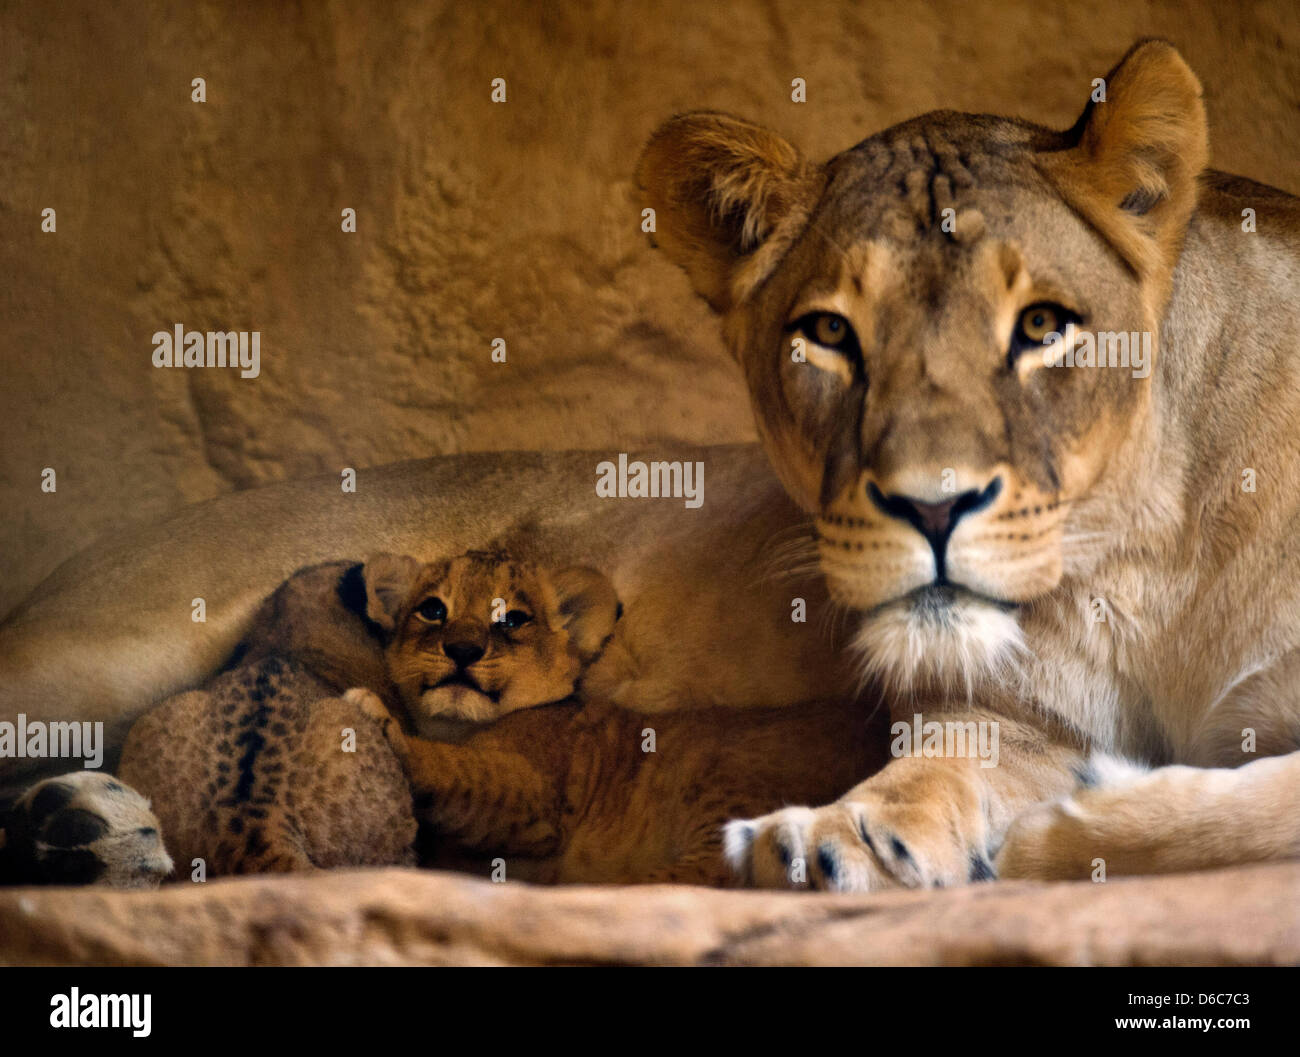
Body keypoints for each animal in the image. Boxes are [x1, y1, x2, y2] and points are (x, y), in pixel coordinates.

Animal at [635, 39, 1300, 888]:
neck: (1136, 566)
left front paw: (1055, 830)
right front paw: (833, 836)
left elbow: (1255, 814)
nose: (932, 507)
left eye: (1042, 325)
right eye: (829, 331)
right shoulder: (1007, 715)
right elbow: (930, 771)